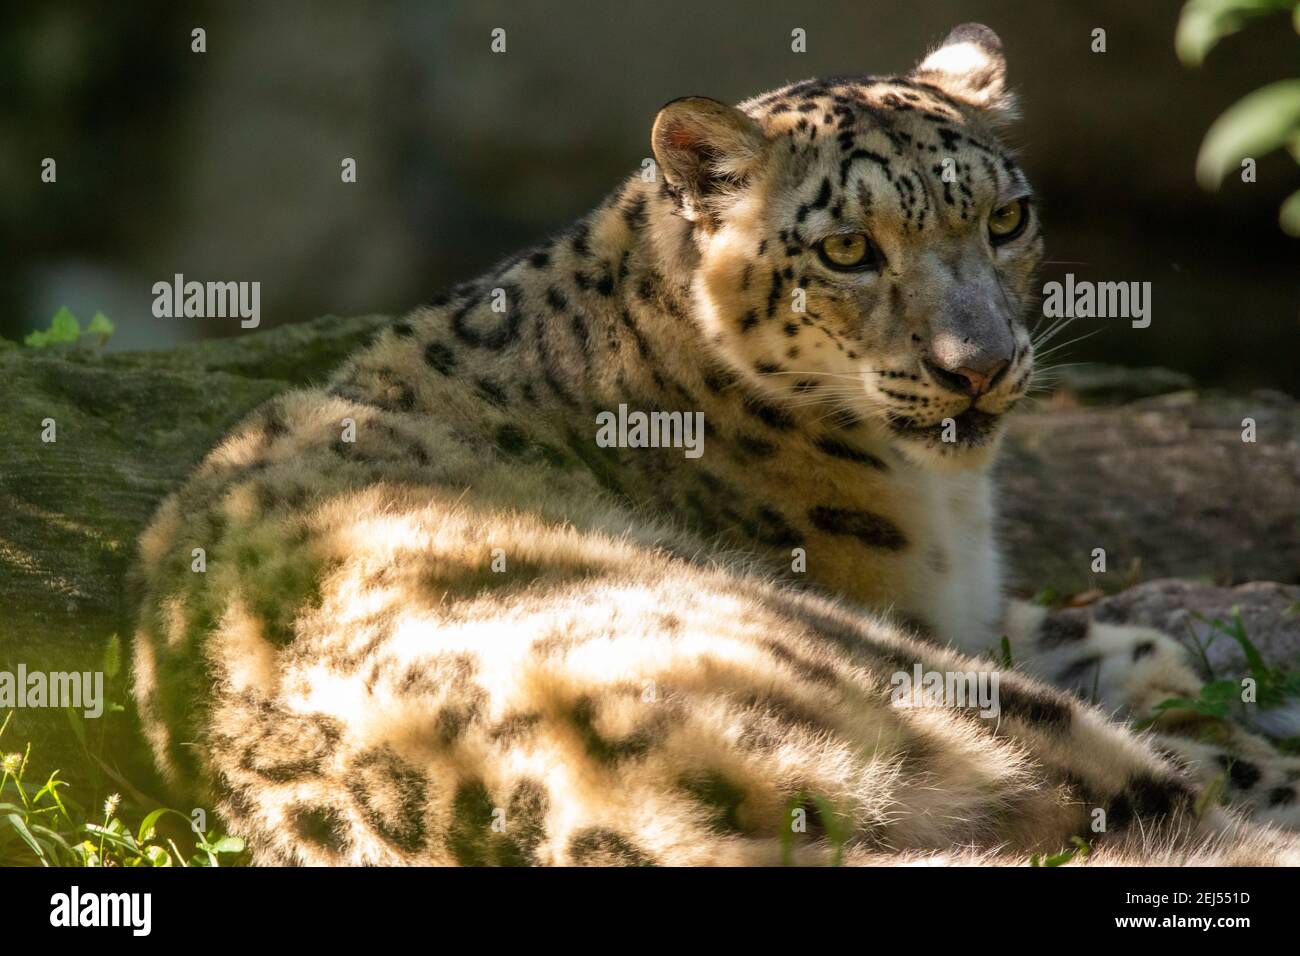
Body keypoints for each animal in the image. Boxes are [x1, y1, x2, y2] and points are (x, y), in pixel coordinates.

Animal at [130, 23, 1300, 865]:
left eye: (1005, 220)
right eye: (846, 250)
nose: (978, 365)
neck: (944, 508)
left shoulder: (980, 612)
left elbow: (1122, 641)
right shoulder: (928, 622)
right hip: (904, 674)